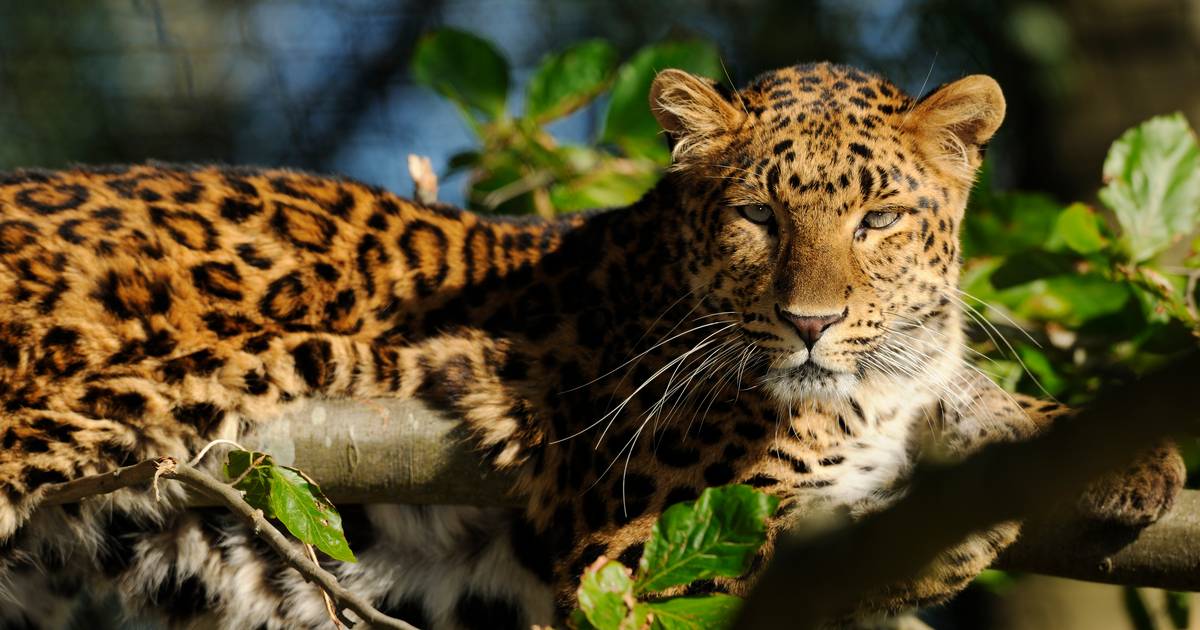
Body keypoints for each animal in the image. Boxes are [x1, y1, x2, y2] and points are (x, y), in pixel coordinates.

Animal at [0, 61, 1185, 629]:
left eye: (881, 219)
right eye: (756, 215)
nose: (810, 322)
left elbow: (963, 386)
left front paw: (1117, 451)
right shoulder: (626, 543)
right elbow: (783, 556)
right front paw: (932, 538)